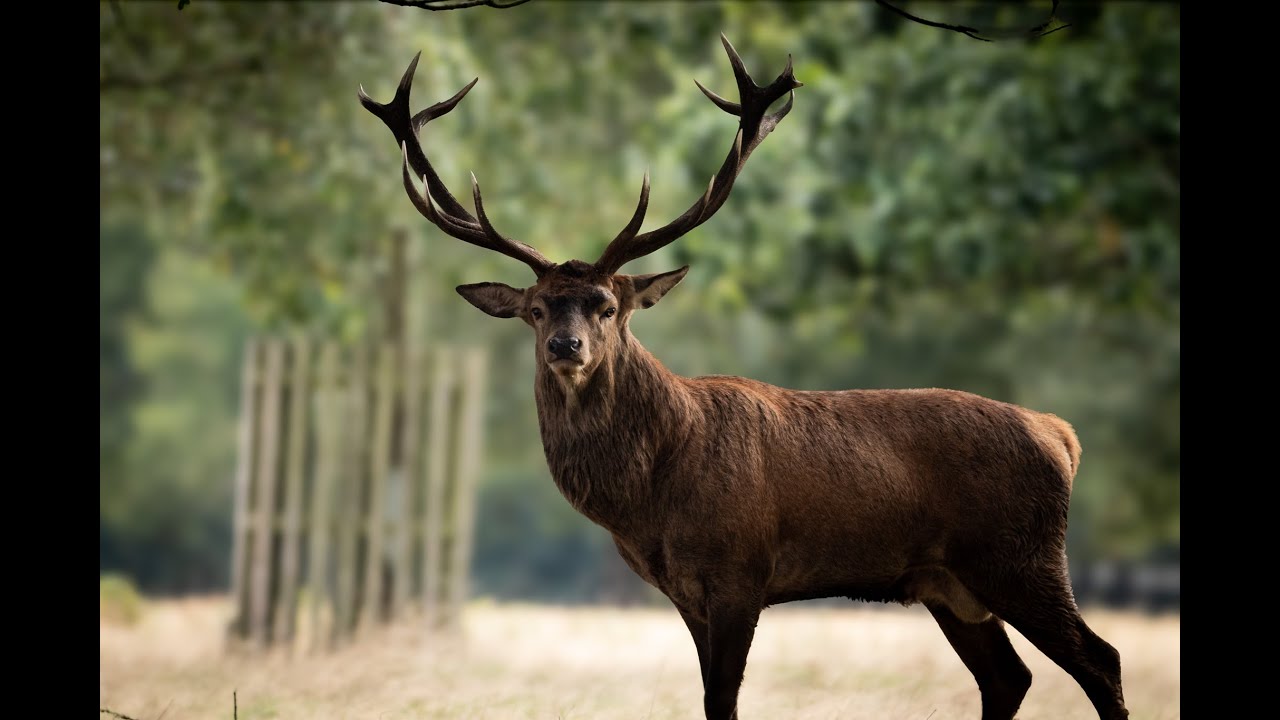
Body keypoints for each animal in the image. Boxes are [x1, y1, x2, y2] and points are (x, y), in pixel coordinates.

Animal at [359, 36, 1129, 720]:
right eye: (536, 308)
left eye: (608, 305)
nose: (565, 345)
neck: (652, 496)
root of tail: (1061, 436)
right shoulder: (685, 591)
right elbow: (709, 697)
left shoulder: (741, 572)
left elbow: (723, 700)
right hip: (951, 584)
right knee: (1008, 678)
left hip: (1021, 557)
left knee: (1101, 659)